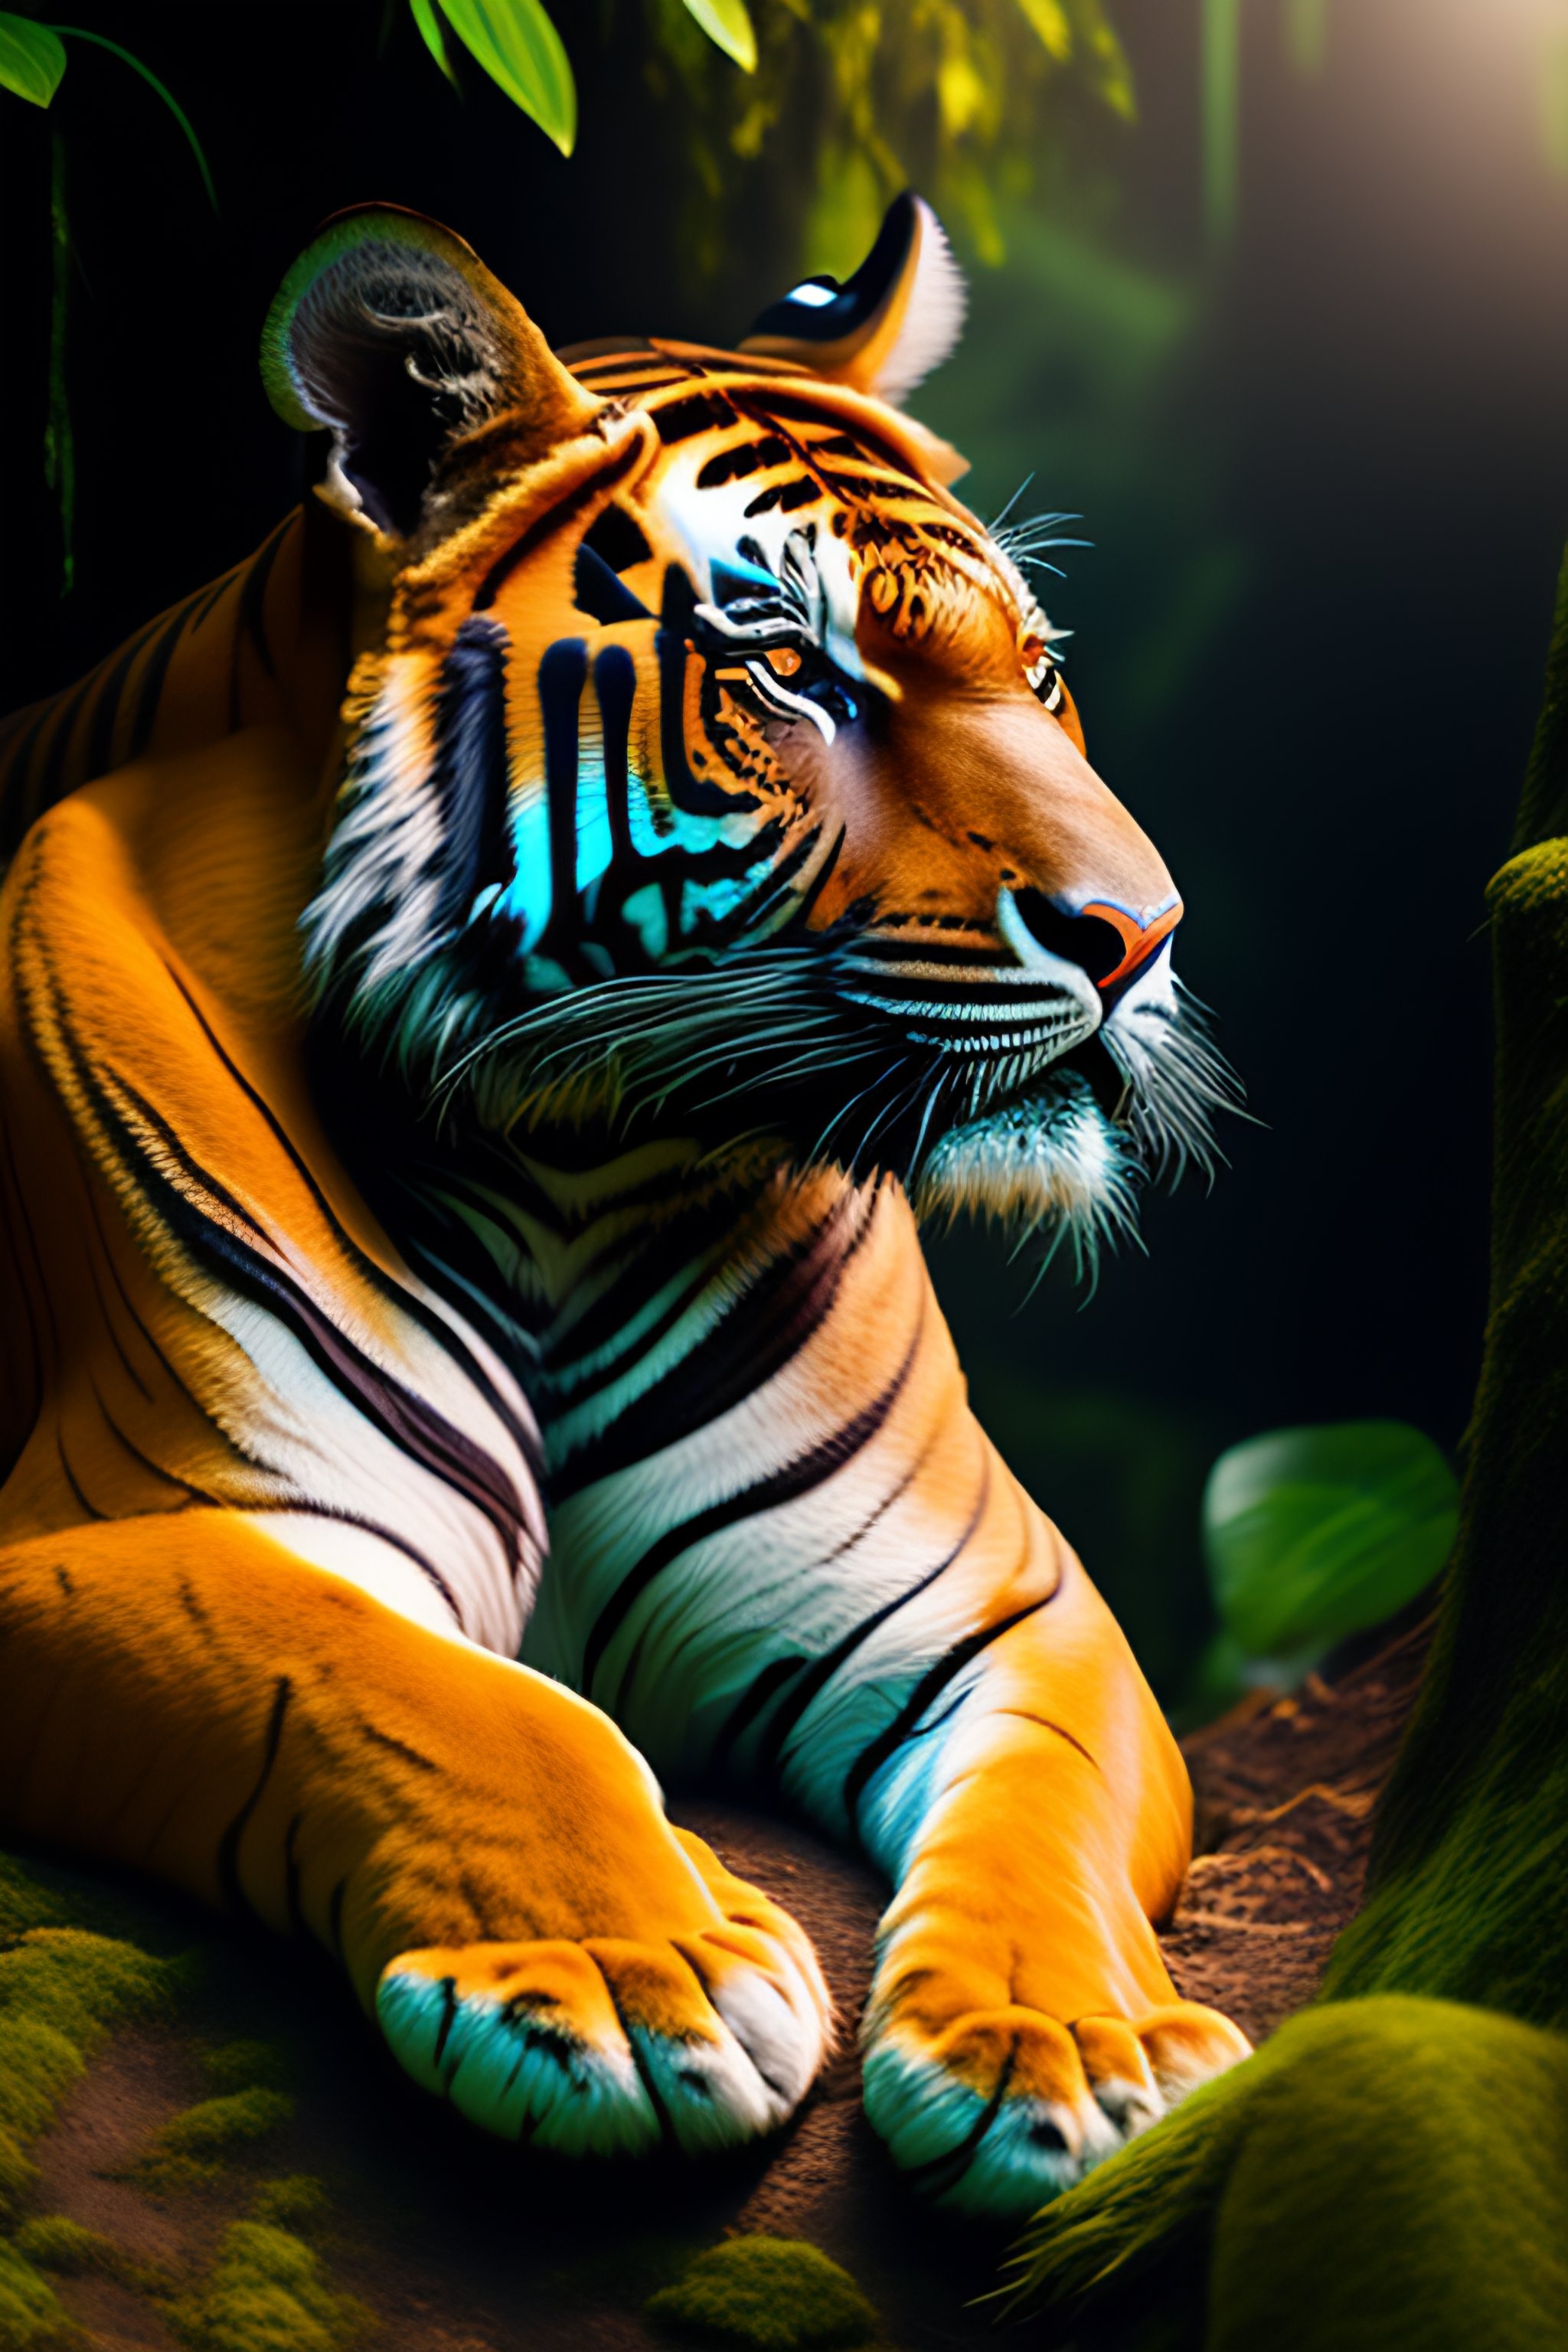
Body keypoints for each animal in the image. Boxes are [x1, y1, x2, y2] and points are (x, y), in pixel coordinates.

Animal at [0, 194, 1250, 2220]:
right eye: (792, 675)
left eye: (1042, 673)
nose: (1137, 936)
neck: (576, 1169)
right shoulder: (131, 1530)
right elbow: (436, 1689)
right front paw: (626, 1979)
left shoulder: (1001, 1597)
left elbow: (1043, 1799)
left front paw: (1069, 2050)